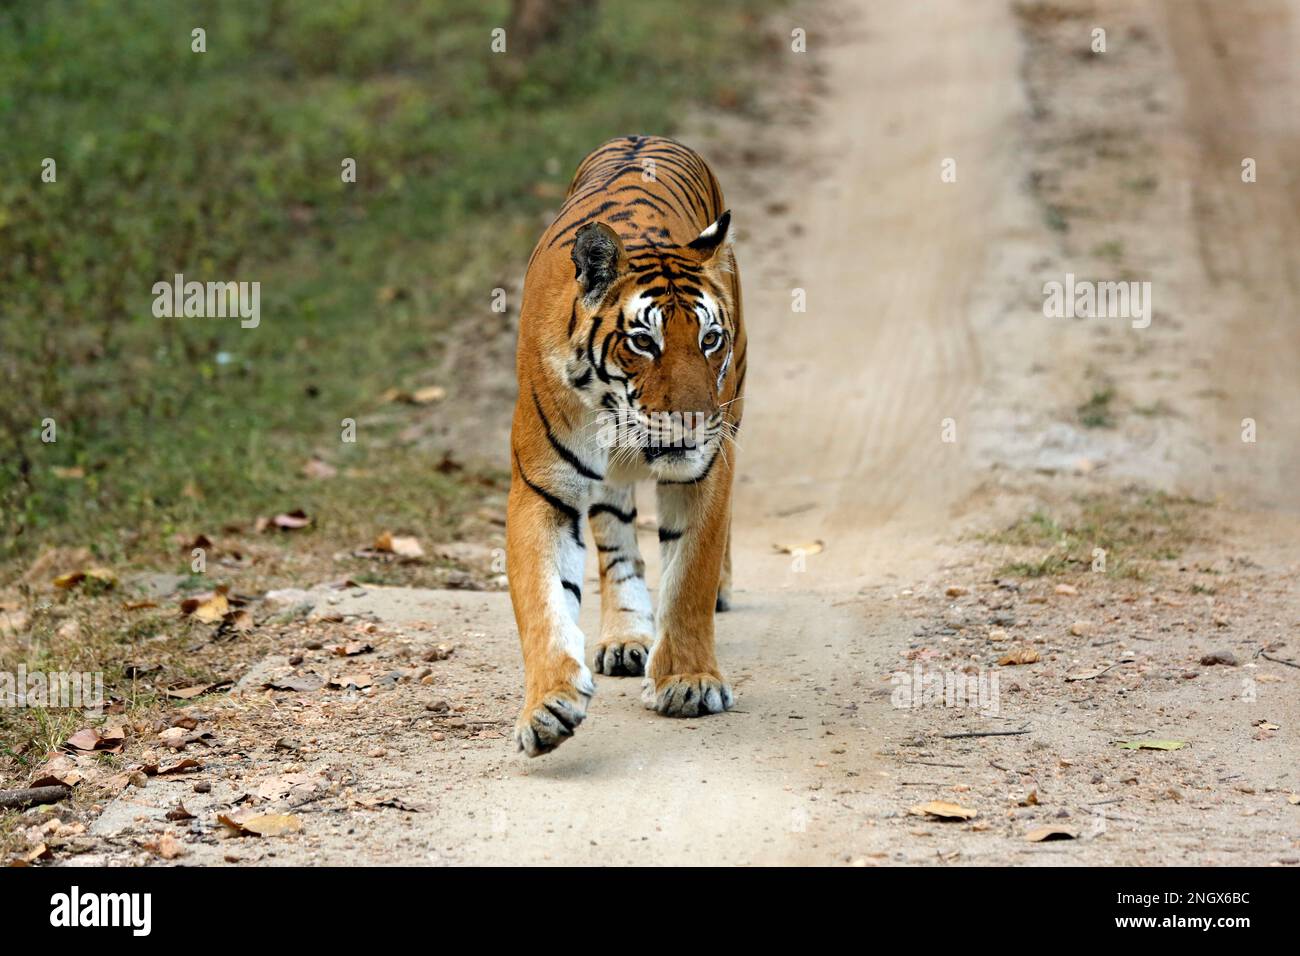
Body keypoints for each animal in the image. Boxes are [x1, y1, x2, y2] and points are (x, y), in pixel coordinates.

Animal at [507, 135, 746, 756]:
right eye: (643, 341)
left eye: (710, 339)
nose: (692, 423)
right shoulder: (543, 488)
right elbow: (543, 599)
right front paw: (547, 706)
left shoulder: (707, 469)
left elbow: (689, 576)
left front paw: (688, 682)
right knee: (617, 542)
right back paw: (626, 636)